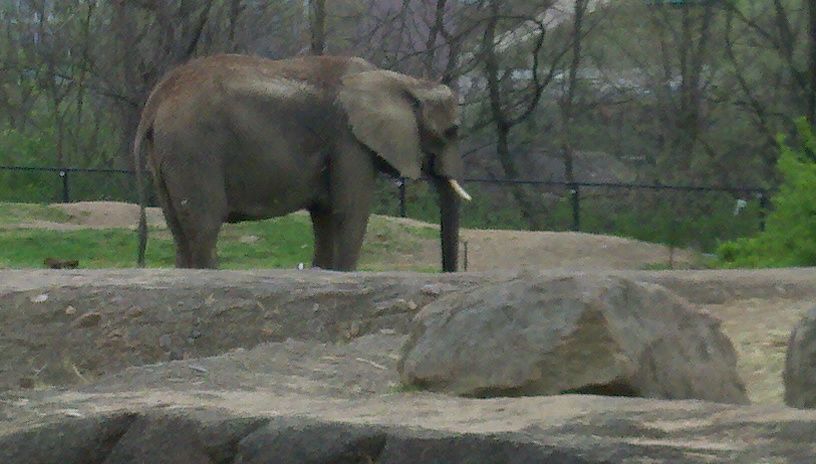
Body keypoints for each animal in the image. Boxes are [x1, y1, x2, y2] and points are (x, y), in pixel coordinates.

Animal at [134, 54, 470, 272]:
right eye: (452, 131)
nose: (446, 271)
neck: (404, 81)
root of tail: (155, 101)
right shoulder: (348, 140)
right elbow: (350, 212)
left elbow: (325, 217)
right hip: (194, 148)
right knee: (205, 224)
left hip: (167, 154)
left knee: (178, 228)